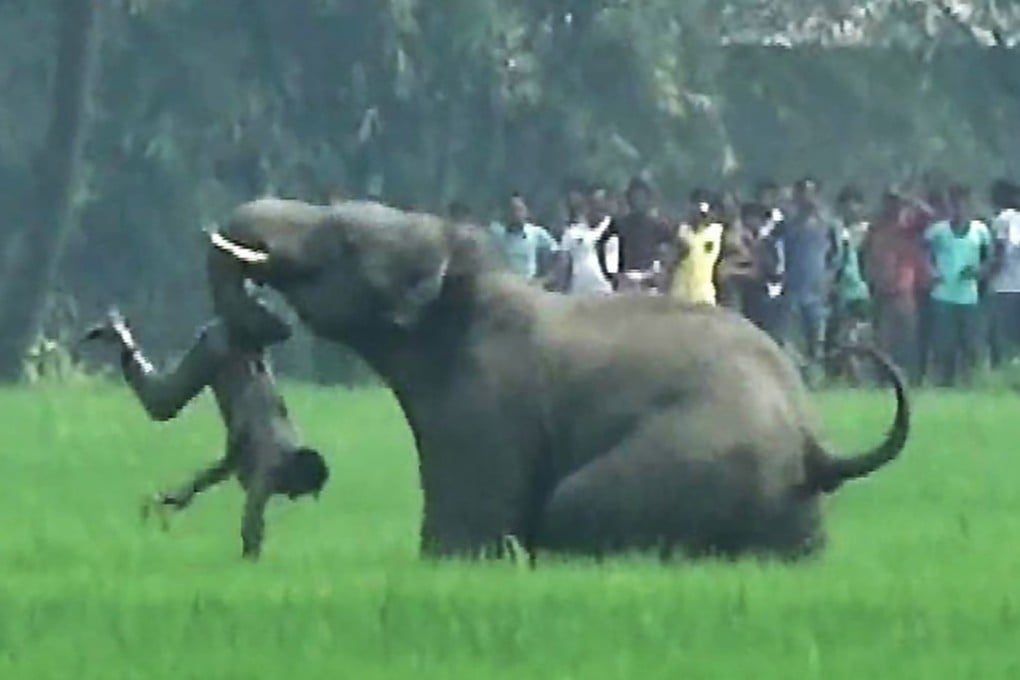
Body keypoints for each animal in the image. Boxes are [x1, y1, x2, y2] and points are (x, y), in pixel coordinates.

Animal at [205, 197, 910, 562]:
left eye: (344, 241)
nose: (265, 325)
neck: (466, 281)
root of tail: (816, 449)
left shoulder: (484, 404)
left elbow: (469, 533)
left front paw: (451, 558)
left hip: (697, 458)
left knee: (573, 505)